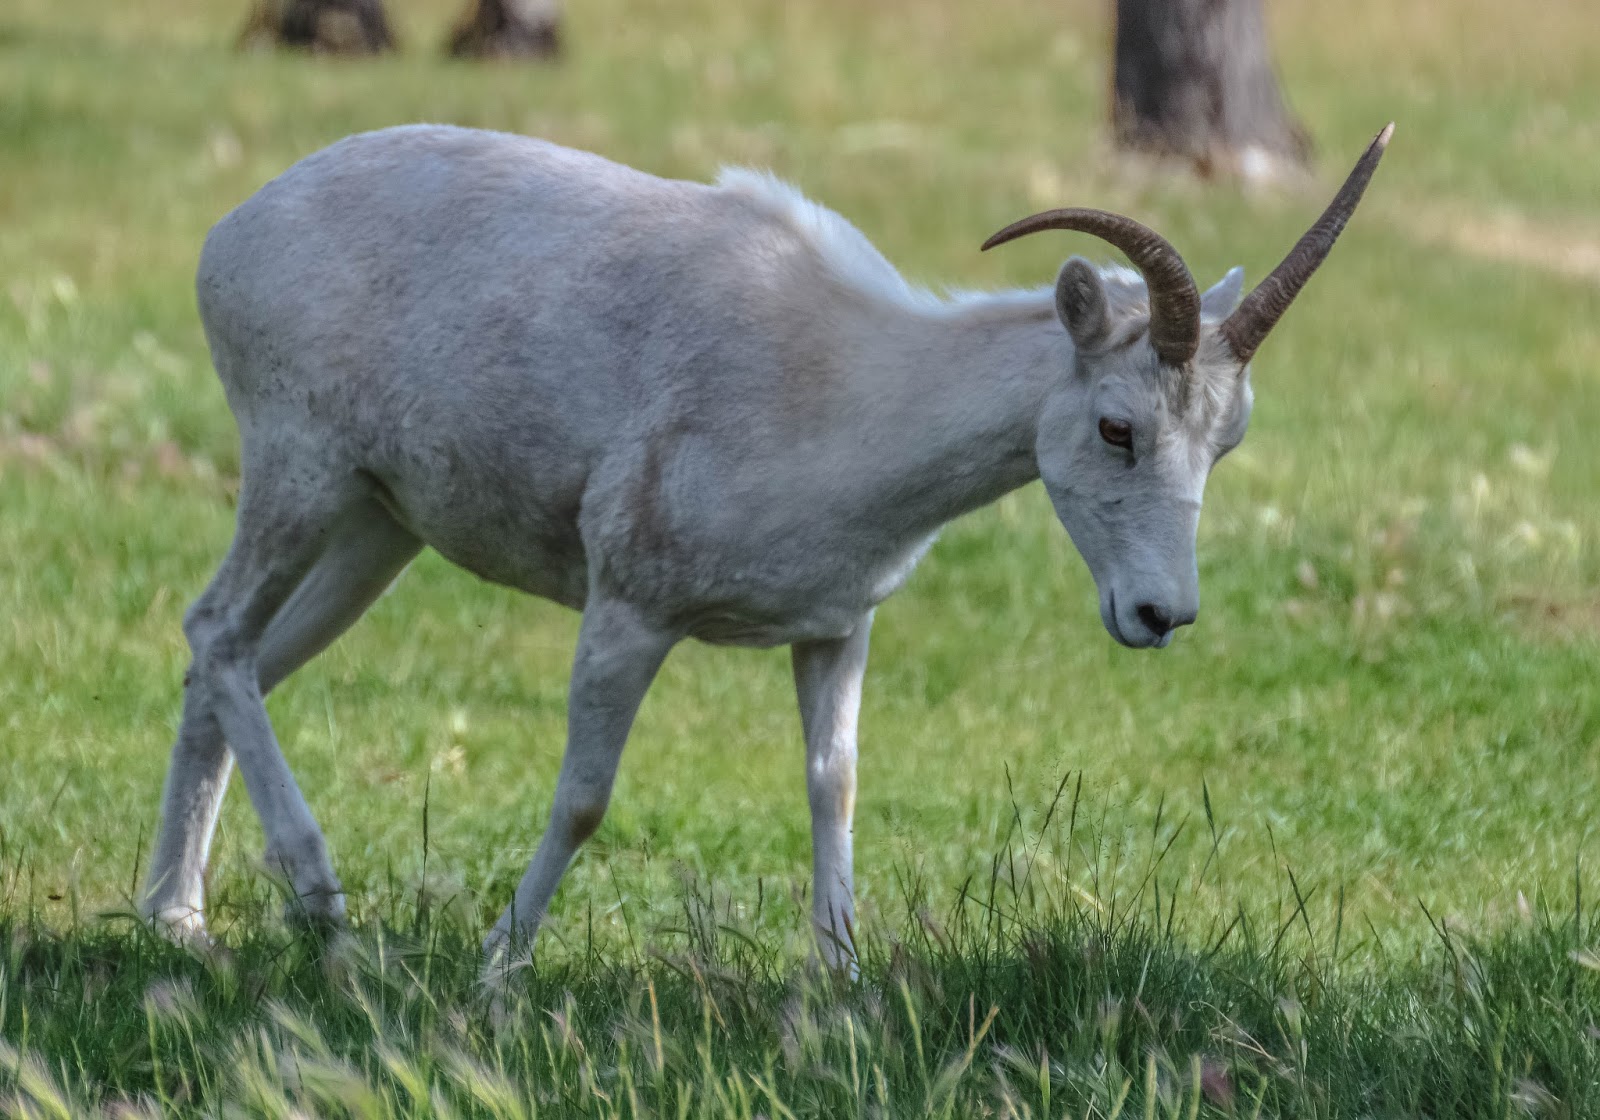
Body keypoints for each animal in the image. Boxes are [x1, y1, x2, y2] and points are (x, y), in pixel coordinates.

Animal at [141, 122, 1392, 972]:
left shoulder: (833, 630)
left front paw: (840, 983)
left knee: (231, 660)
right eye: (1117, 426)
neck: (842, 381)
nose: (1158, 615)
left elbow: (833, 784)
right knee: (217, 632)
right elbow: (584, 795)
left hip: (376, 528)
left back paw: (178, 917)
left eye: (1225, 439)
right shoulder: (629, 607)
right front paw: (500, 966)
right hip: (298, 473)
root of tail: (232, 232)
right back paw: (315, 895)